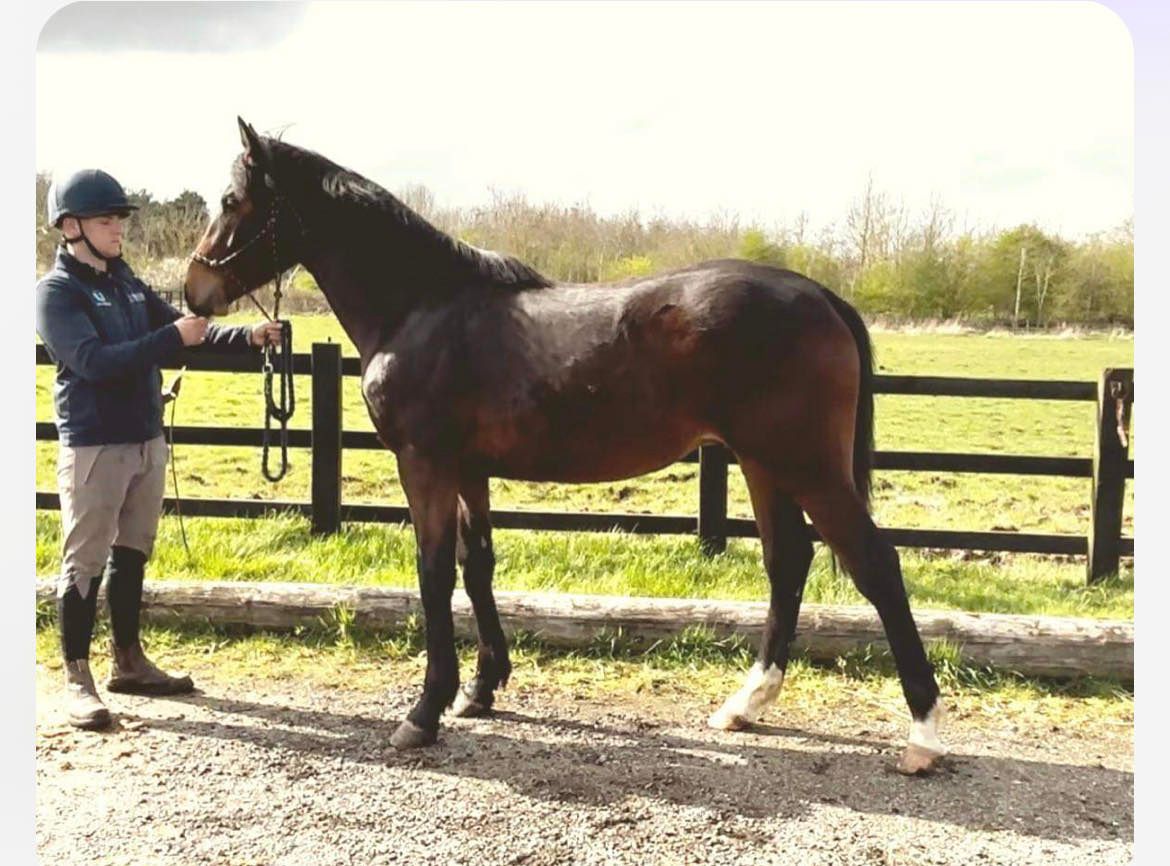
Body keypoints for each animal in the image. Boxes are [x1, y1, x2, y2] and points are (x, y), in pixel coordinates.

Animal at [185, 118, 945, 775]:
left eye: (231, 200)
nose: (193, 290)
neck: (423, 306)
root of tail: (820, 294)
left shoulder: (425, 464)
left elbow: (433, 574)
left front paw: (425, 712)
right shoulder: (469, 471)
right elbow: (476, 565)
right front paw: (482, 689)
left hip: (804, 464)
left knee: (876, 565)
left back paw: (922, 736)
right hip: (763, 463)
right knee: (788, 562)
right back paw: (744, 705)